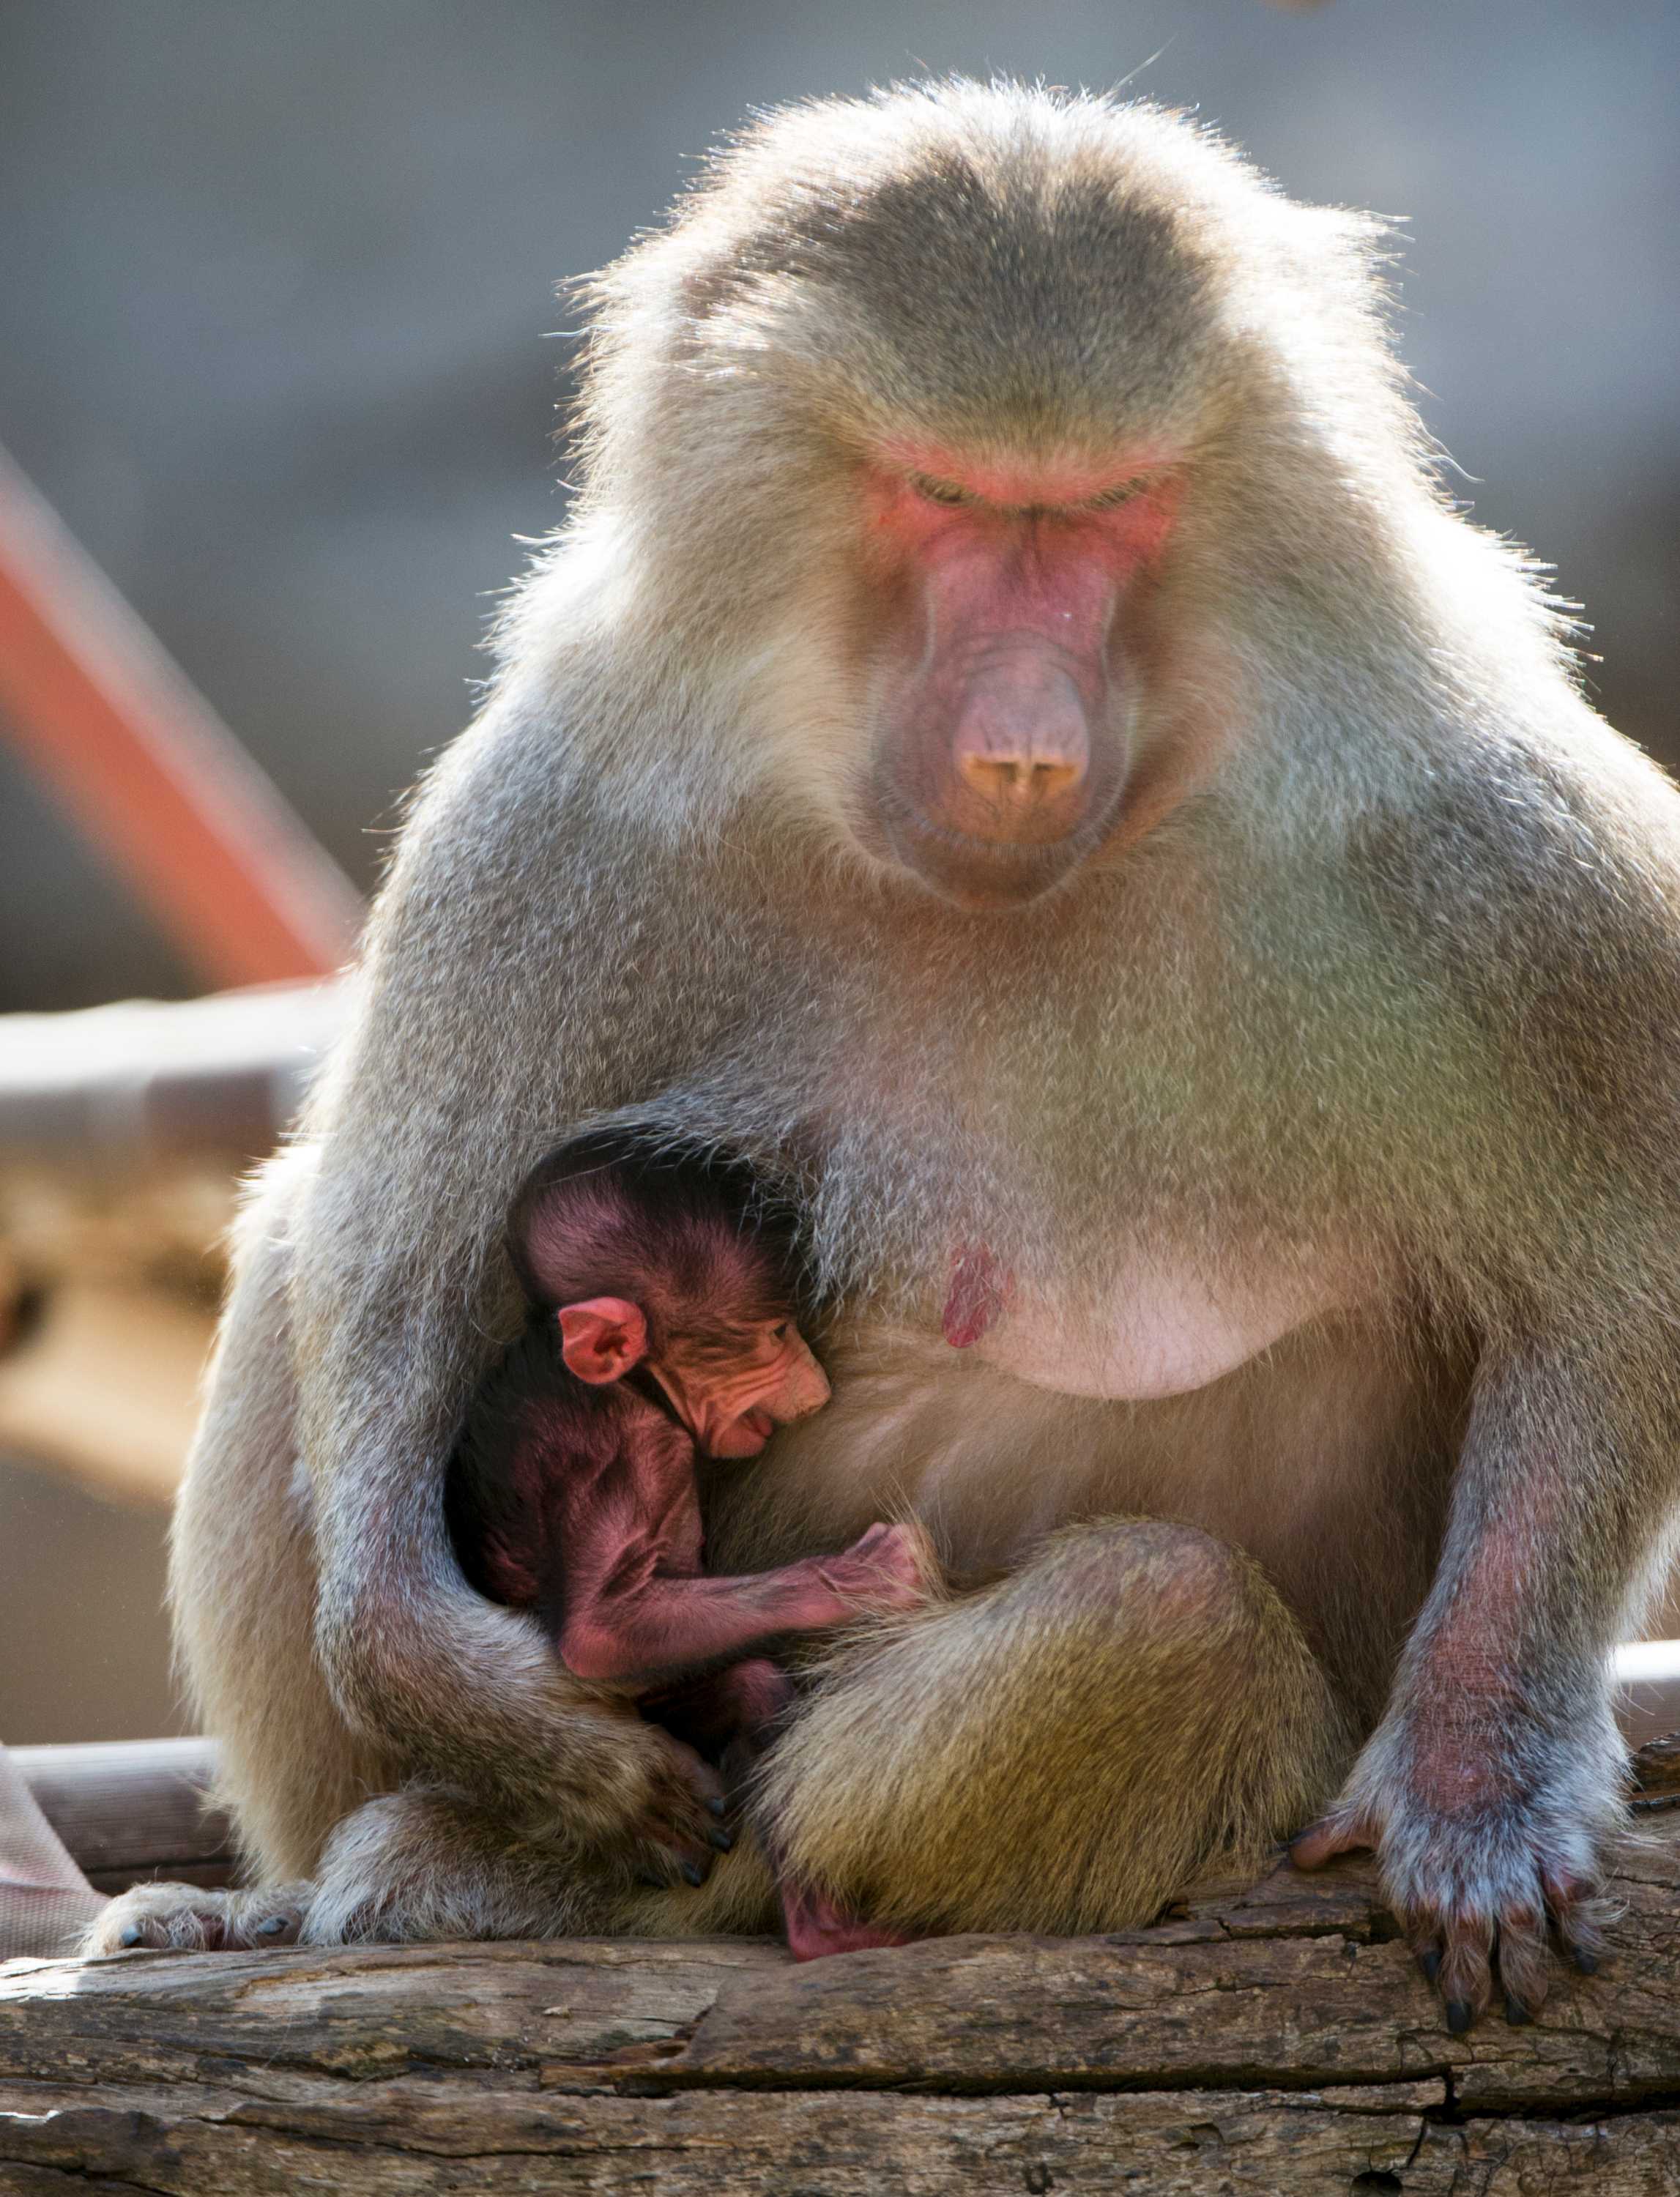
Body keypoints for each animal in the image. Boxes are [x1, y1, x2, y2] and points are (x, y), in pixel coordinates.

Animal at [443, 1135, 931, 1795]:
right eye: (776, 1332)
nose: (818, 1387)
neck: (636, 1388)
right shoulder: (619, 1459)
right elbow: (597, 1635)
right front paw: (863, 1576)